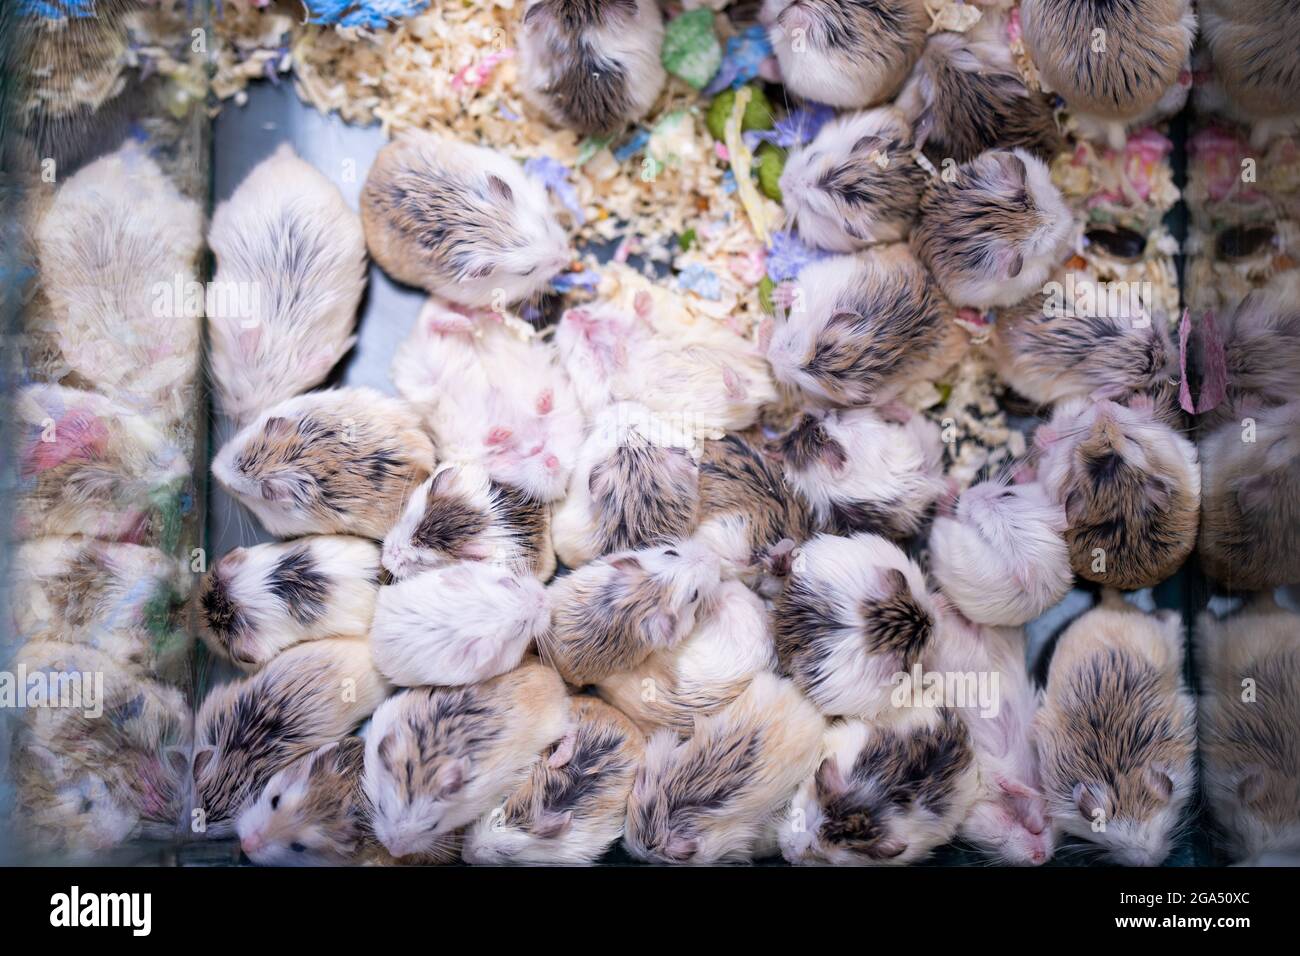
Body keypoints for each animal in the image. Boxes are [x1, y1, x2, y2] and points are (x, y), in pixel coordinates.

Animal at [362, 661, 571, 858]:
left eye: (433, 826)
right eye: (380, 806)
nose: (394, 853)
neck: (425, 761)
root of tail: (550, 673)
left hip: (556, 722)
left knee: (572, 727)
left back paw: (556, 761)